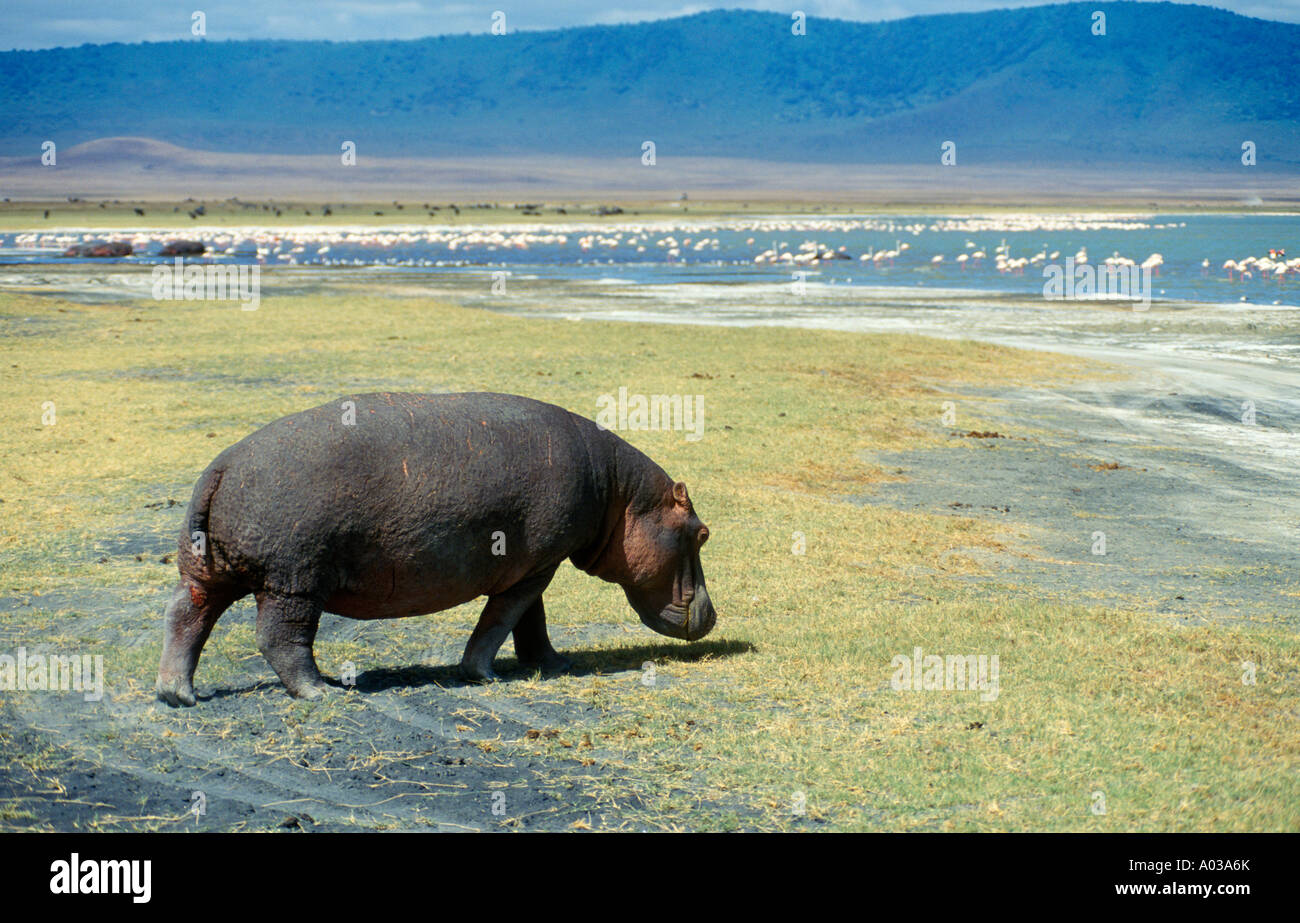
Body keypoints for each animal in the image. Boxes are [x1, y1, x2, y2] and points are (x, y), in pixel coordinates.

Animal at [156, 392, 716, 705]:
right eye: (703, 532)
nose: (713, 615)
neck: (622, 495)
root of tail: (221, 466)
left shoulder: (536, 561)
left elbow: (530, 619)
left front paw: (552, 665)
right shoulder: (536, 565)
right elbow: (502, 618)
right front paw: (483, 675)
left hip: (209, 572)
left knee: (186, 616)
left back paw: (178, 695)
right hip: (293, 580)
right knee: (280, 638)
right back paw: (321, 693)